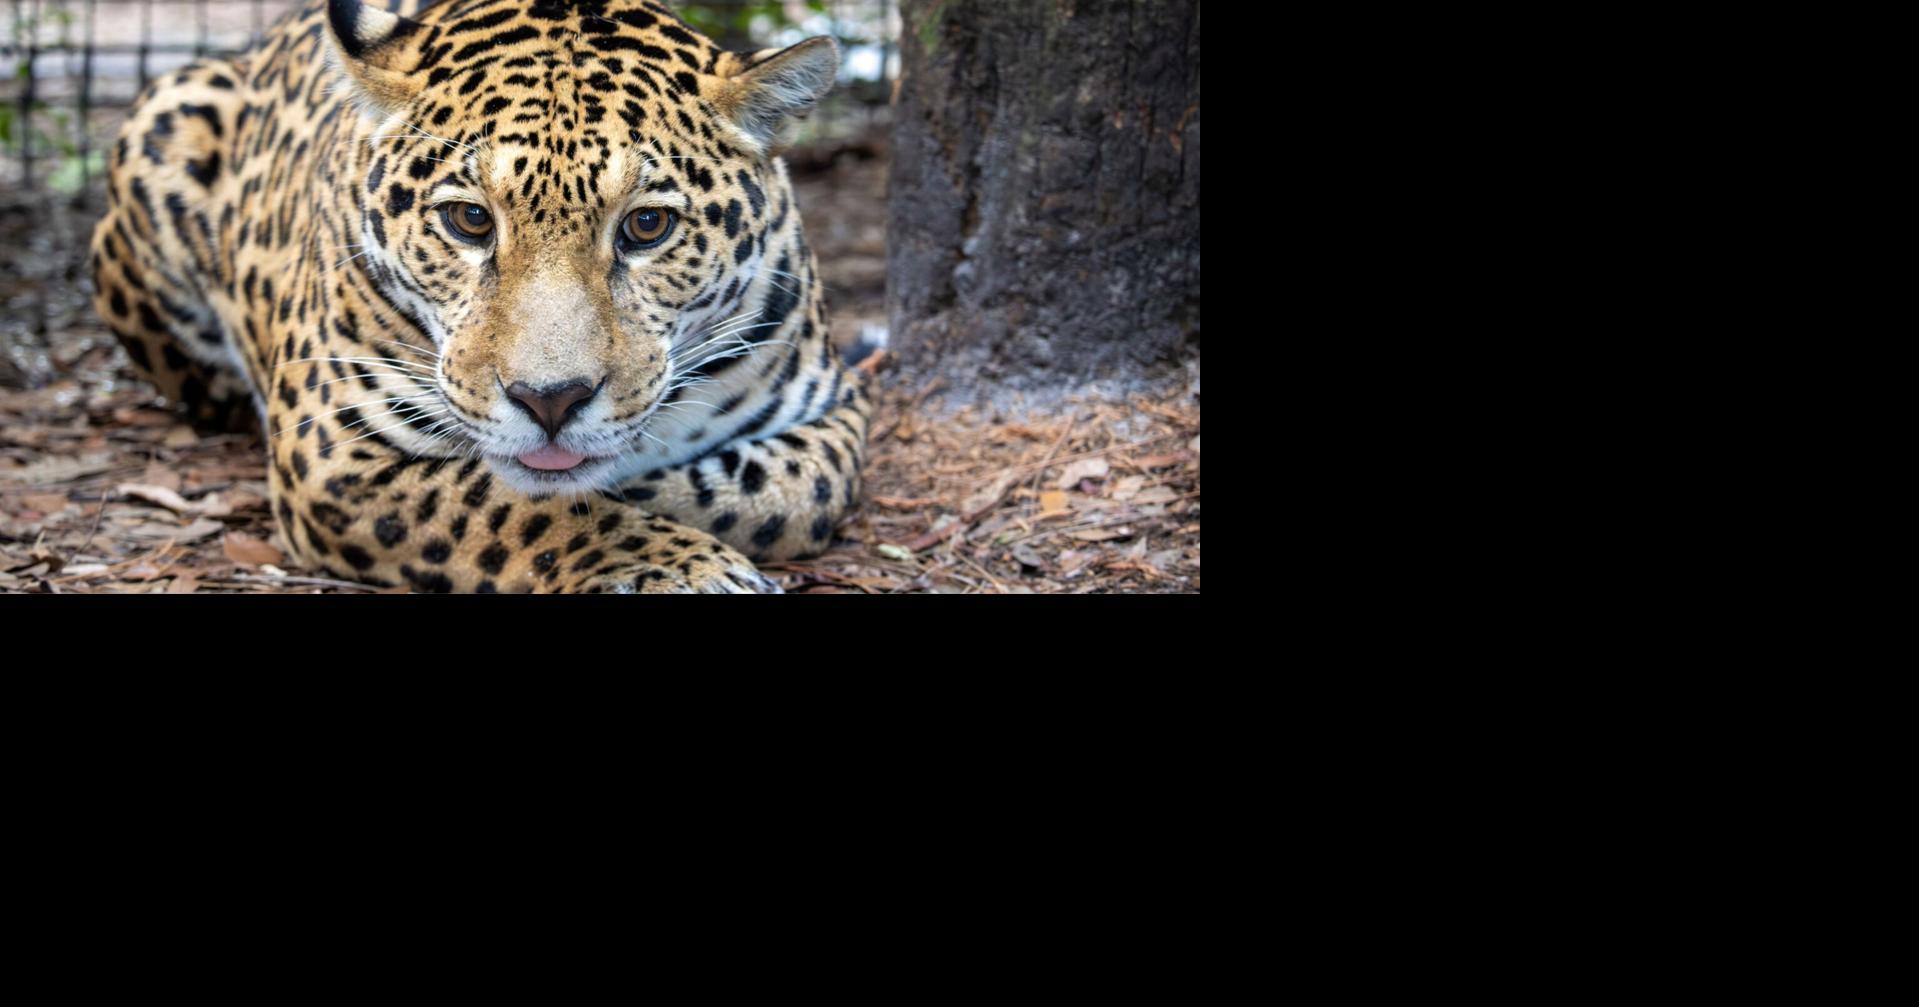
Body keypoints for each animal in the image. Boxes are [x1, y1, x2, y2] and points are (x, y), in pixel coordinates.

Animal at [87, 0, 873, 593]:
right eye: (469, 220)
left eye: (647, 226)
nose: (550, 401)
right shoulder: (332, 450)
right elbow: (517, 507)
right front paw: (682, 569)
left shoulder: (838, 413)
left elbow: (779, 492)